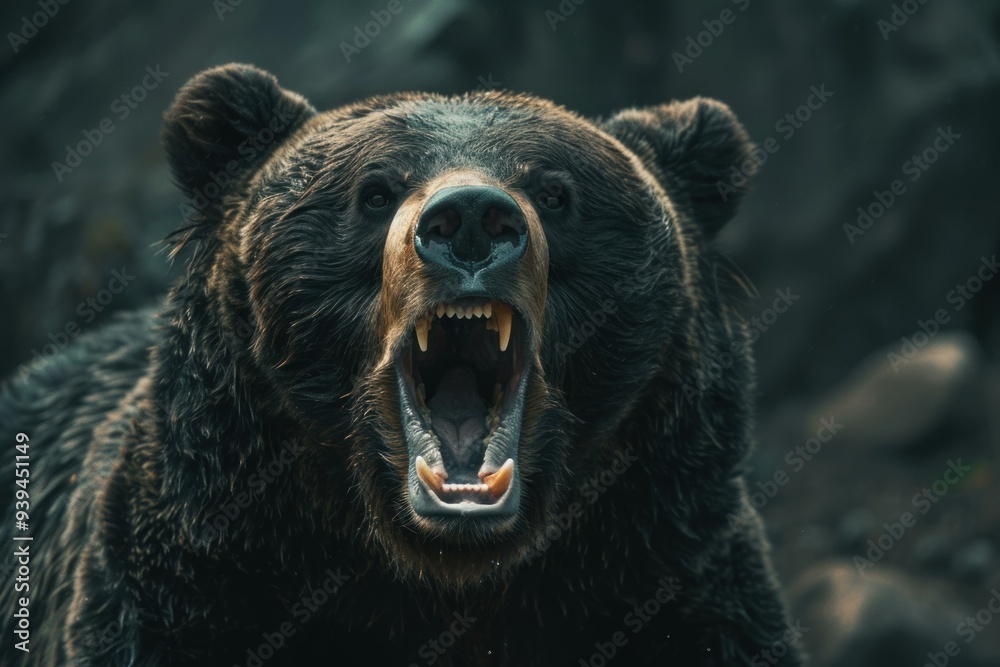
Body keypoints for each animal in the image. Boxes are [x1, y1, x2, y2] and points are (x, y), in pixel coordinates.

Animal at [0, 63, 802, 666]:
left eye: (555, 191)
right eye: (375, 190)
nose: (472, 217)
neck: (442, 574)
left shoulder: (669, 578)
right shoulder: (195, 584)